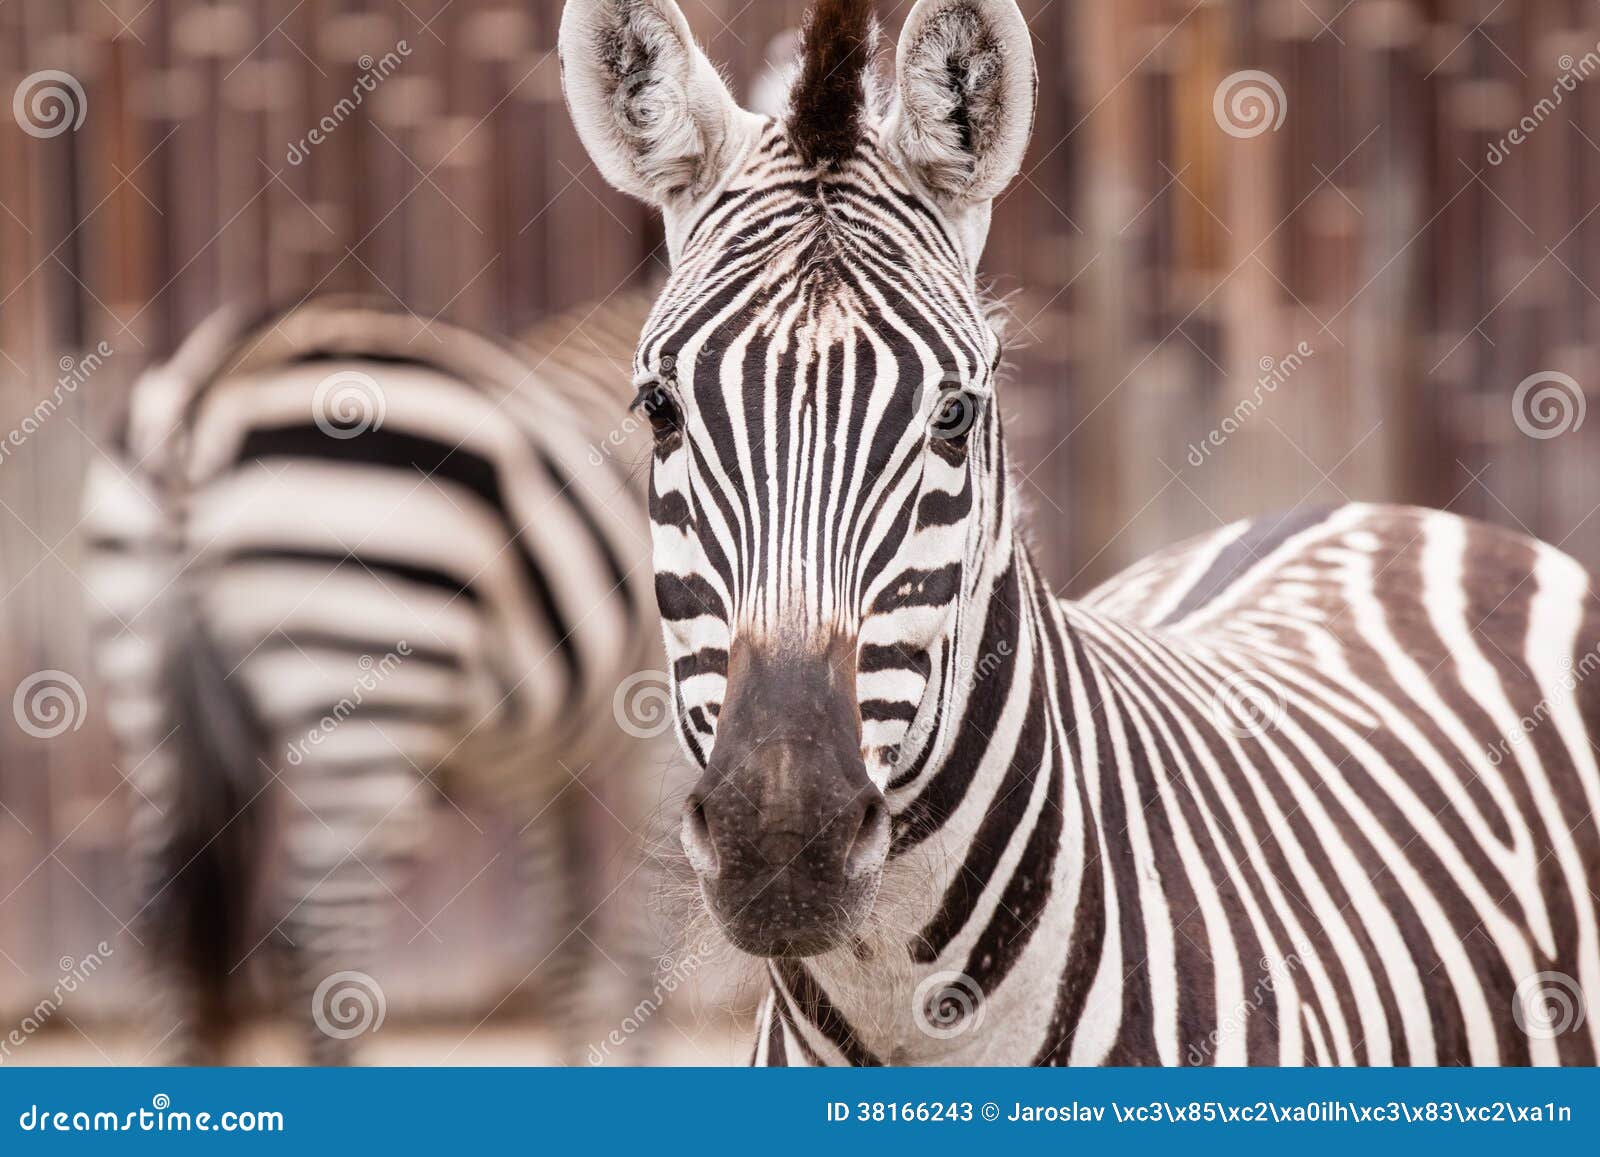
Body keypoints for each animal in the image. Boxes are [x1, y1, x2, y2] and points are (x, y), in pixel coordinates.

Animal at [81, 292, 676, 1064]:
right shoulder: (657, 731)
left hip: (146, 692)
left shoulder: (544, 761)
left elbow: (564, 934)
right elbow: (642, 940)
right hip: (363, 692)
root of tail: (211, 381)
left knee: (166, 928)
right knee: (316, 939)